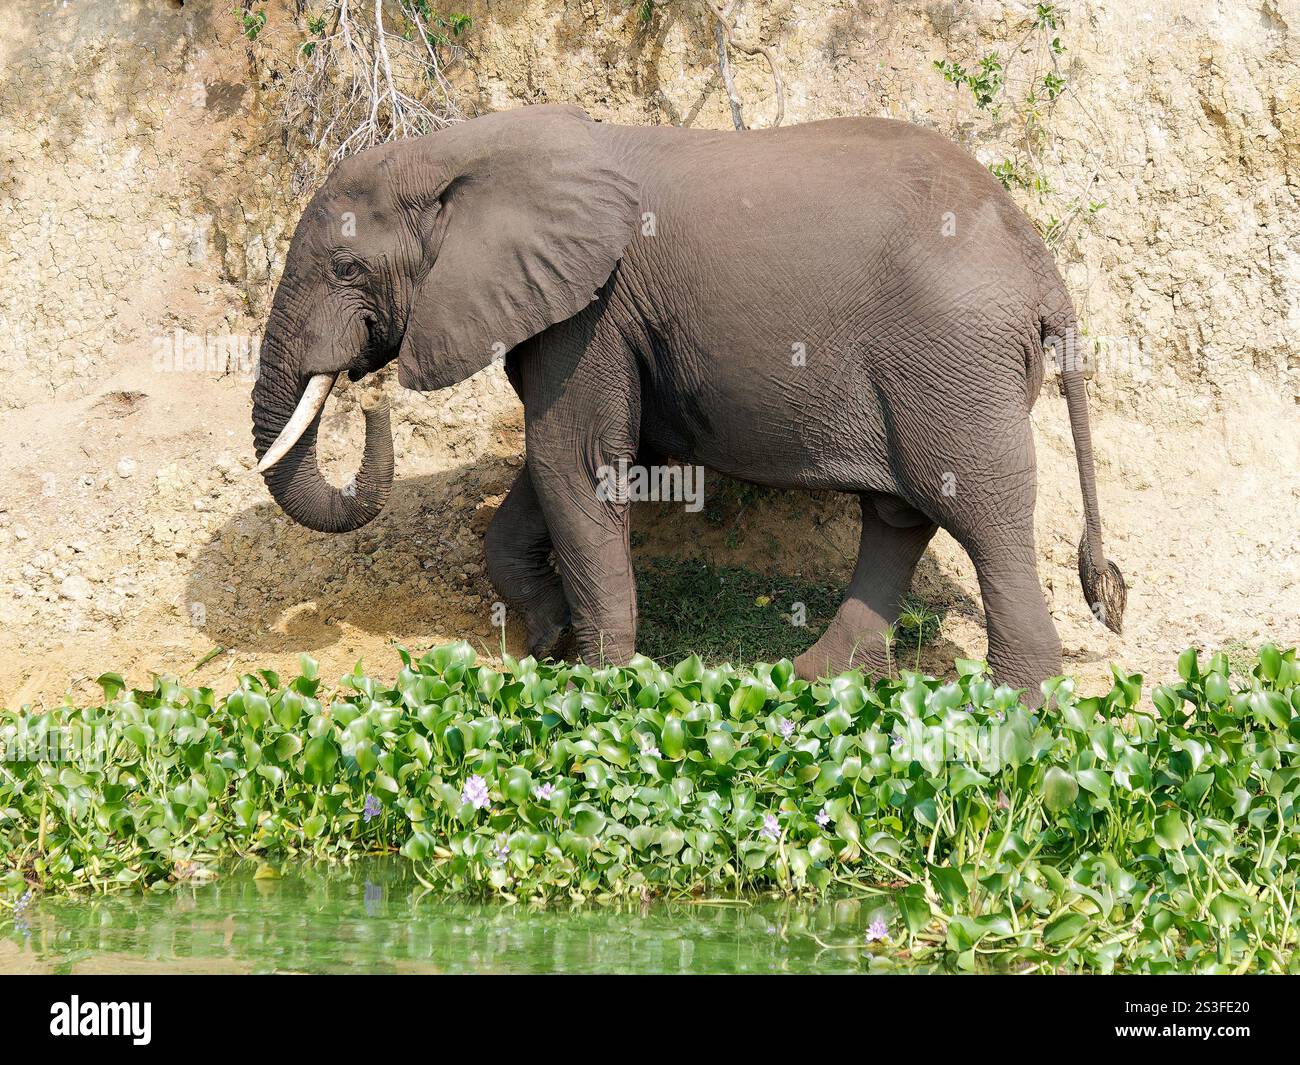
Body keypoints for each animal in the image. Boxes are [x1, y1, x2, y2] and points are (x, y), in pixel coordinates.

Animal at [251, 104, 1126, 699]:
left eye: (344, 269)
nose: (369, 401)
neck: (458, 148)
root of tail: (1045, 275)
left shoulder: (592, 312)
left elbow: (576, 464)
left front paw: (596, 684)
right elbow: (567, 465)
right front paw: (546, 642)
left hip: (953, 364)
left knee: (979, 514)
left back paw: (1007, 715)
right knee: (900, 516)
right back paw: (811, 680)